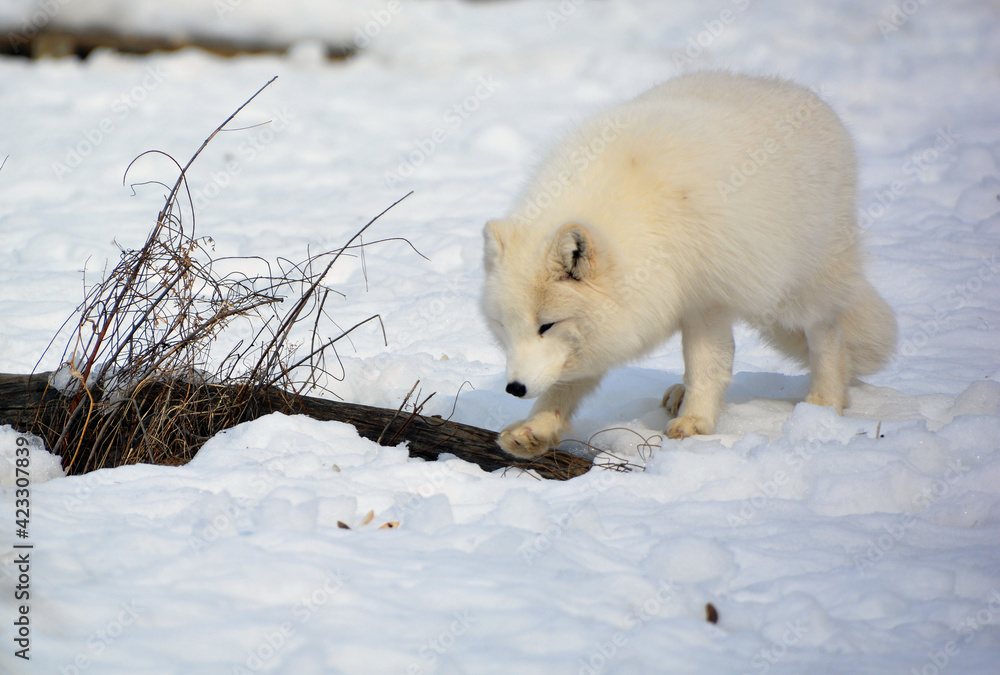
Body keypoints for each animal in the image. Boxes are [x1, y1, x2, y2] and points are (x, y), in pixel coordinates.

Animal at [481, 71, 897, 459]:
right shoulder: (621, 320)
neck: (638, 219)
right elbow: (567, 381)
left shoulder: (707, 300)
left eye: (547, 325)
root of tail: (793, 89)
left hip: (799, 286)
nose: (514, 388)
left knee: (827, 333)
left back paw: (825, 401)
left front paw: (697, 423)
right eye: (504, 327)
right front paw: (536, 428)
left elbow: (709, 365)